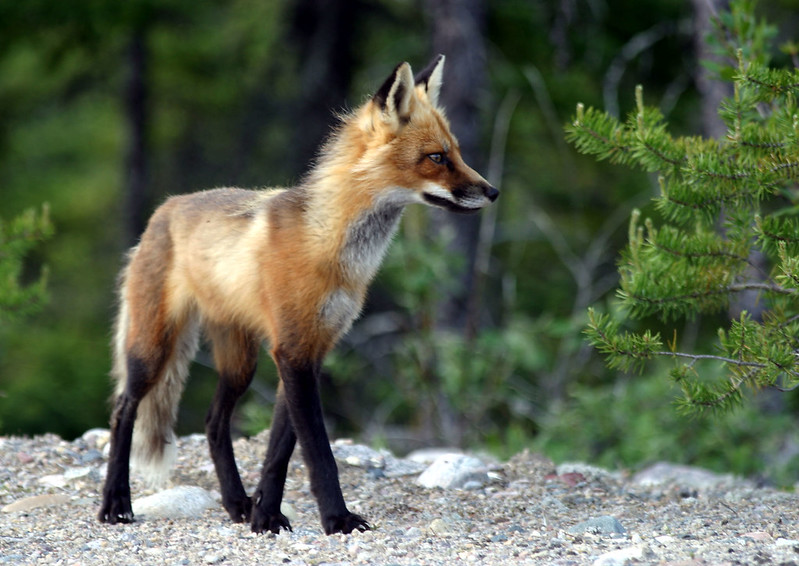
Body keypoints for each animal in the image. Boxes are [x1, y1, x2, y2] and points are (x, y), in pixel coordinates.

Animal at [98, 54, 498, 535]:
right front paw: (337, 519)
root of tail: (163, 209)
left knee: (214, 423)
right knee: (123, 409)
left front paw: (265, 515)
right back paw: (115, 502)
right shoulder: (292, 350)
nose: (493, 191)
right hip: (153, 347)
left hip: (240, 362)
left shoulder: (313, 346)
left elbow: (280, 451)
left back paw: (236, 504)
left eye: (457, 152)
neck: (332, 249)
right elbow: (319, 452)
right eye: (436, 157)